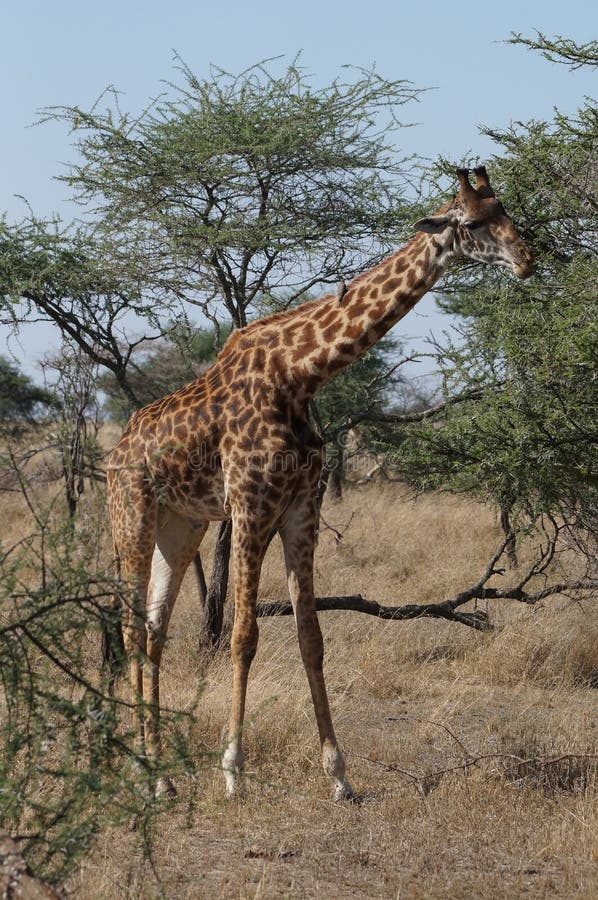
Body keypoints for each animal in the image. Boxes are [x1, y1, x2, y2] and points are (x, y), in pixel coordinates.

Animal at [107, 166, 533, 800]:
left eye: (506, 209)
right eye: (476, 222)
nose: (527, 260)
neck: (302, 373)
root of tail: (114, 452)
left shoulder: (300, 508)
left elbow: (311, 636)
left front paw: (340, 775)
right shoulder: (251, 504)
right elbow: (243, 635)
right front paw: (233, 771)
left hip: (179, 528)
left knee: (155, 632)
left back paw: (159, 773)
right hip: (131, 518)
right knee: (132, 630)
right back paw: (143, 772)